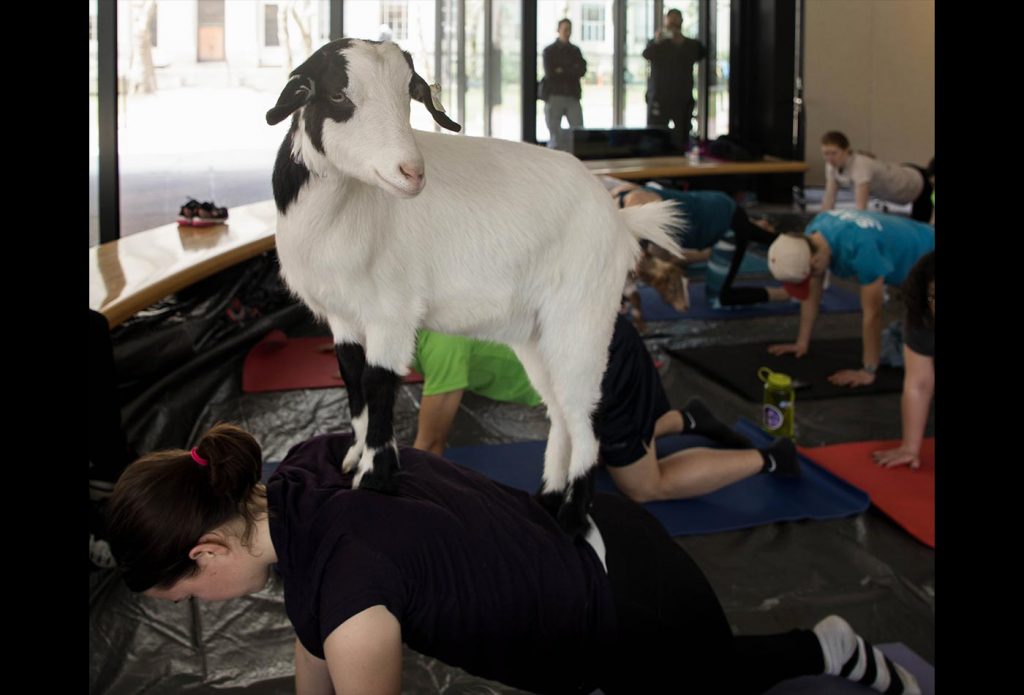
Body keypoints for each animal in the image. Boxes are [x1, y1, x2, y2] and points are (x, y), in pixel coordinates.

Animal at [265, 39, 683, 534]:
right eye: (337, 95)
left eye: (408, 95)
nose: (412, 172)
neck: (342, 214)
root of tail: (621, 221)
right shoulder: (343, 316)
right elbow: (352, 378)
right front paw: (353, 457)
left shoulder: (392, 311)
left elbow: (378, 382)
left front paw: (374, 481)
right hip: (535, 335)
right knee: (560, 413)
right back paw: (546, 497)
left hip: (582, 318)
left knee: (586, 419)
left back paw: (572, 516)